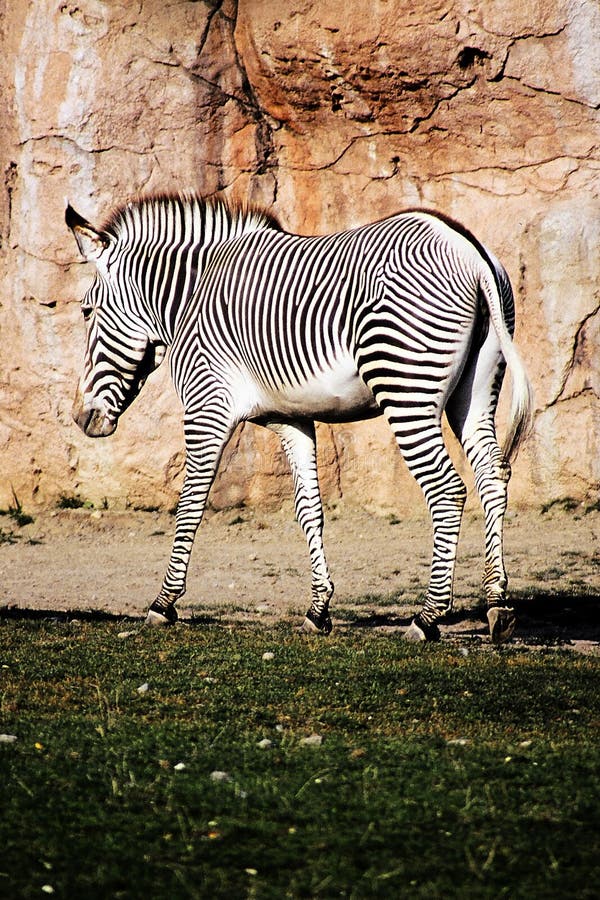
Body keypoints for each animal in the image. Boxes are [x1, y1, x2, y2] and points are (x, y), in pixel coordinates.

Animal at [66, 194, 533, 642]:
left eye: (86, 311)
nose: (81, 418)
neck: (190, 296)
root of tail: (467, 249)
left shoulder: (206, 403)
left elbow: (190, 505)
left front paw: (163, 604)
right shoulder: (290, 419)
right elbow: (309, 509)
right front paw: (318, 610)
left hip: (405, 389)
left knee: (447, 490)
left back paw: (427, 617)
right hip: (475, 391)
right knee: (493, 476)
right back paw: (498, 604)